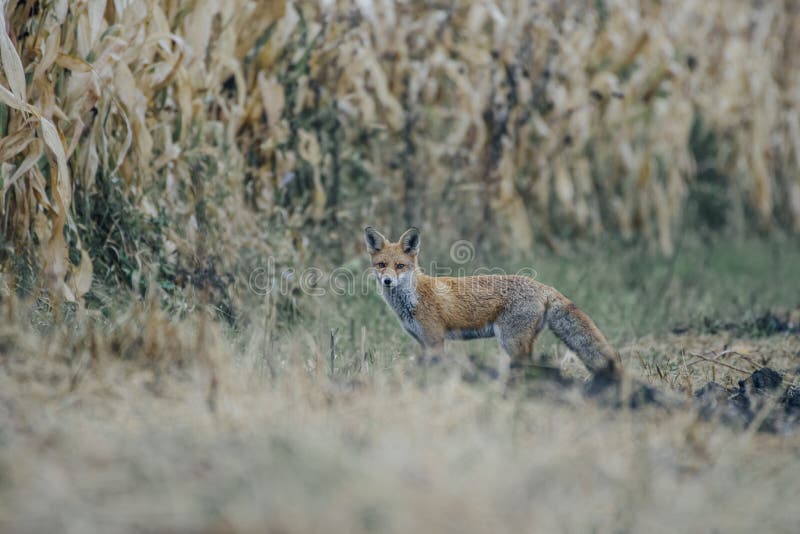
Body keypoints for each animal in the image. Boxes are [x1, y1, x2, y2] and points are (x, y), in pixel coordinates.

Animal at [364, 226, 622, 380]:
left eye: (400, 266)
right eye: (381, 265)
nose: (387, 281)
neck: (413, 299)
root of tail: (543, 286)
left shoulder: (435, 340)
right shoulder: (423, 343)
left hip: (511, 341)